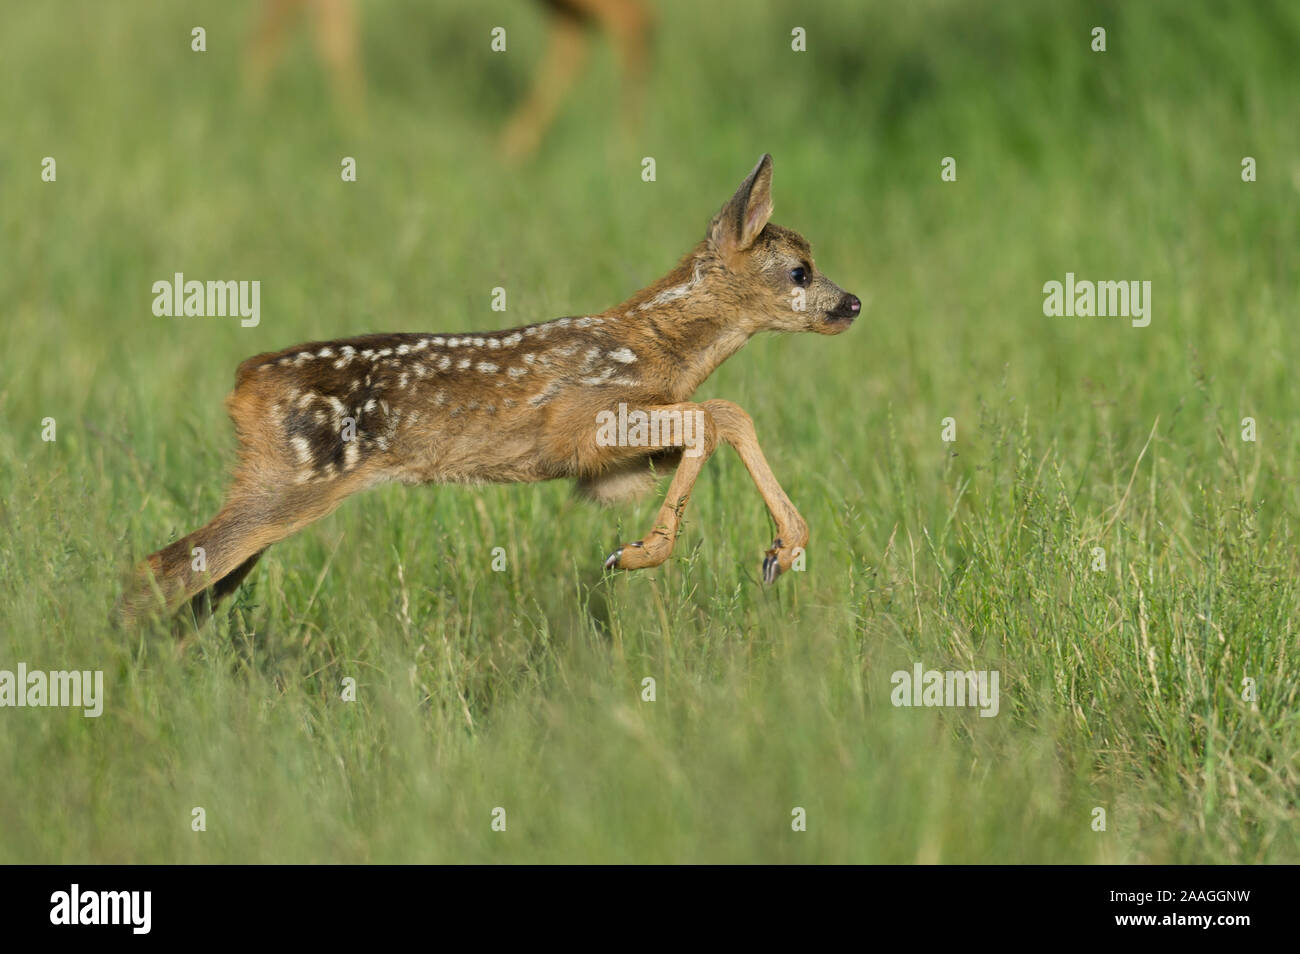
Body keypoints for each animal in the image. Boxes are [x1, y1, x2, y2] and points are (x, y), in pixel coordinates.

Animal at [118, 154, 861, 628]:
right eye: (800, 271)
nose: (852, 303)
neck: (659, 345)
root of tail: (243, 381)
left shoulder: (614, 460)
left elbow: (716, 417)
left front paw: (778, 550)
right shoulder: (582, 421)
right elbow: (721, 414)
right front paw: (647, 552)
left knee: (188, 581)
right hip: (290, 485)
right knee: (157, 571)